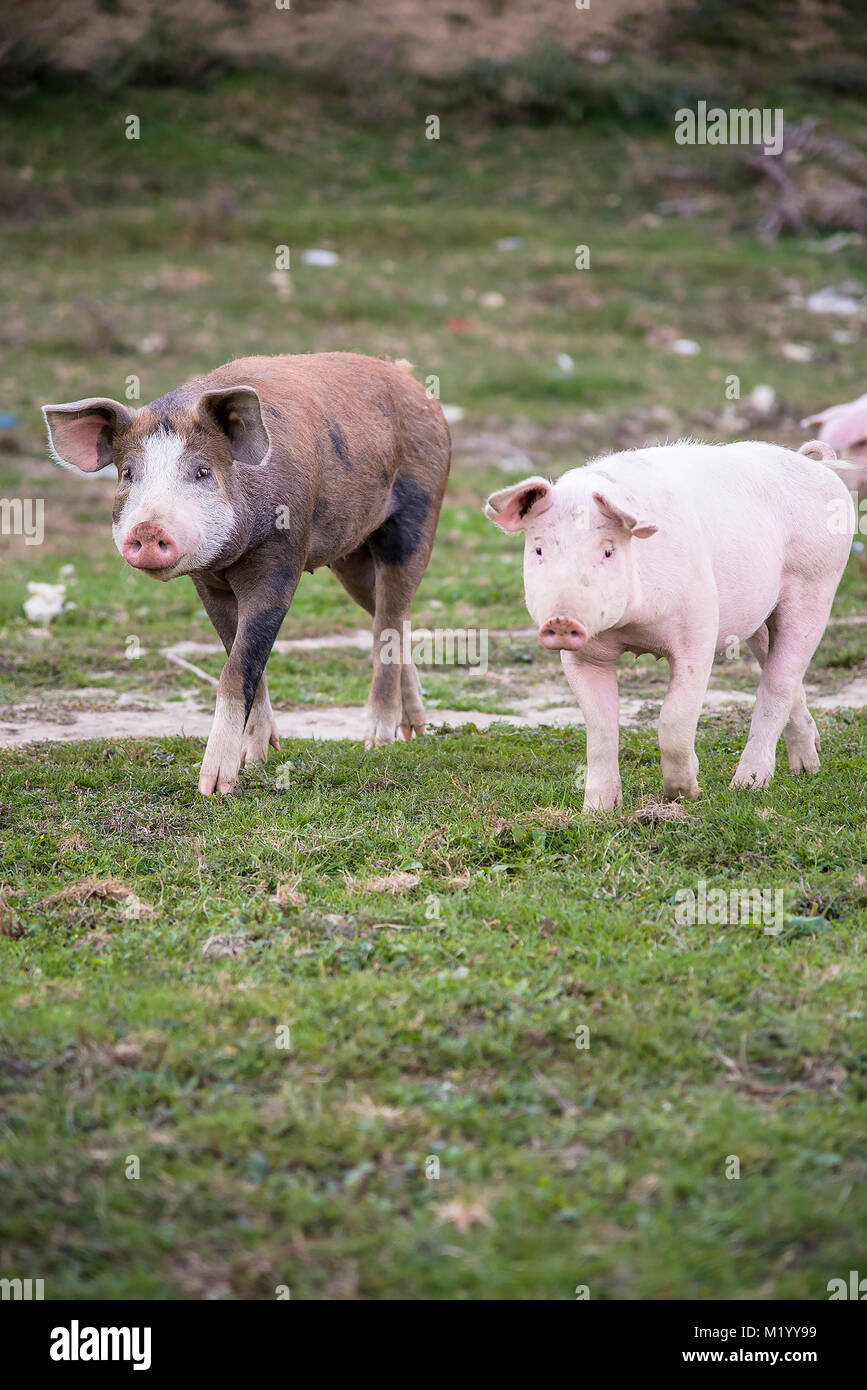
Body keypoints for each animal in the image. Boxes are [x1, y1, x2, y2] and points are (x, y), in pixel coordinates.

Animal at [43, 353, 450, 795]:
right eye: (128, 474)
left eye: (202, 471)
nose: (148, 528)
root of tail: (410, 379)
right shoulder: (208, 583)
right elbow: (240, 653)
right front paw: (255, 758)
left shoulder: (281, 562)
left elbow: (238, 666)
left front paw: (214, 786)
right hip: (350, 555)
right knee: (391, 615)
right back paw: (415, 729)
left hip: (417, 518)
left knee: (389, 616)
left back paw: (378, 741)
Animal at [485, 441, 854, 812]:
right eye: (539, 549)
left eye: (607, 551)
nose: (562, 620)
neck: (632, 626)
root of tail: (818, 467)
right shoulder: (584, 655)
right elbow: (600, 730)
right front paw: (597, 810)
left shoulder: (698, 630)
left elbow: (674, 719)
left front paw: (684, 794)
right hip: (763, 617)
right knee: (783, 673)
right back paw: (806, 768)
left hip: (816, 584)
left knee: (779, 682)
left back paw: (747, 785)